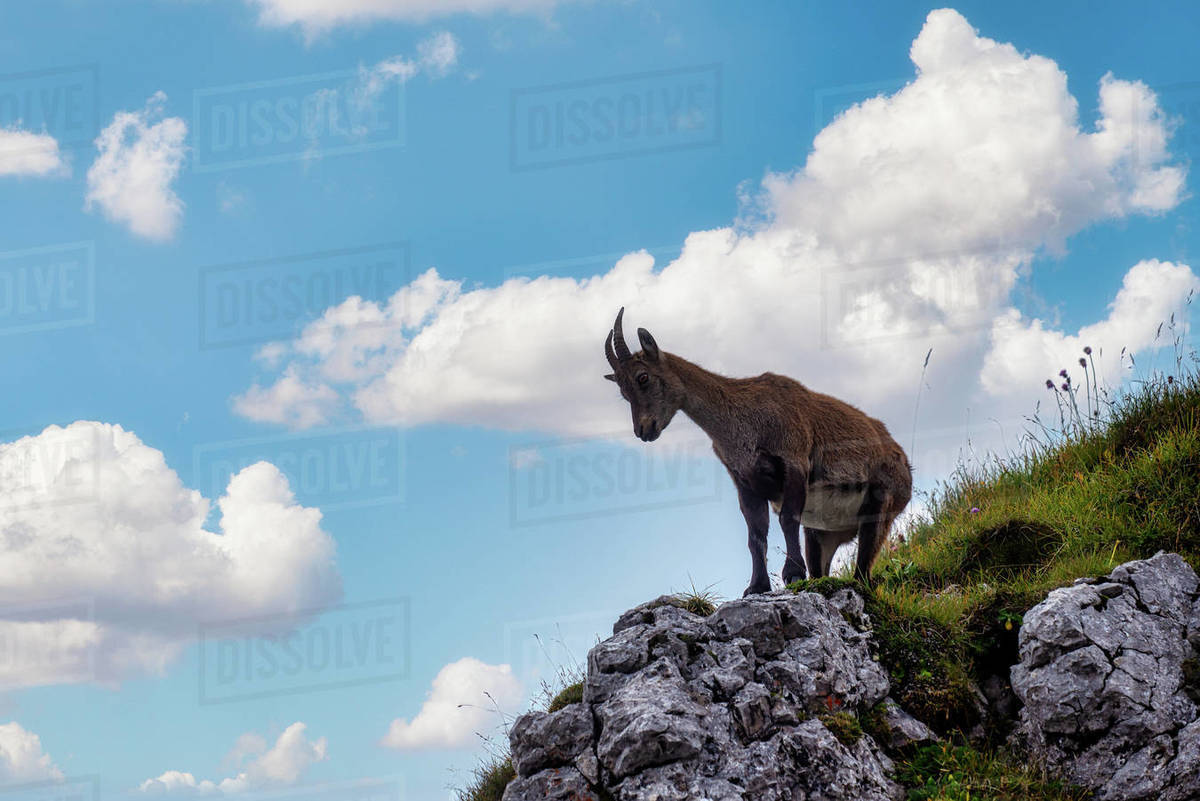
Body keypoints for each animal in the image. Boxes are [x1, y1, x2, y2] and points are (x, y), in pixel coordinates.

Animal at [604, 308, 911, 595]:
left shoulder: (793, 461)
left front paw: (792, 574)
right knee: (822, 564)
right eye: (622, 391)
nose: (644, 430)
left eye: (642, 377)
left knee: (864, 569)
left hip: (880, 505)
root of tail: (902, 459)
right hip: (821, 534)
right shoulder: (745, 481)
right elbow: (756, 535)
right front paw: (757, 586)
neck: (743, 420)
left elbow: (788, 519)